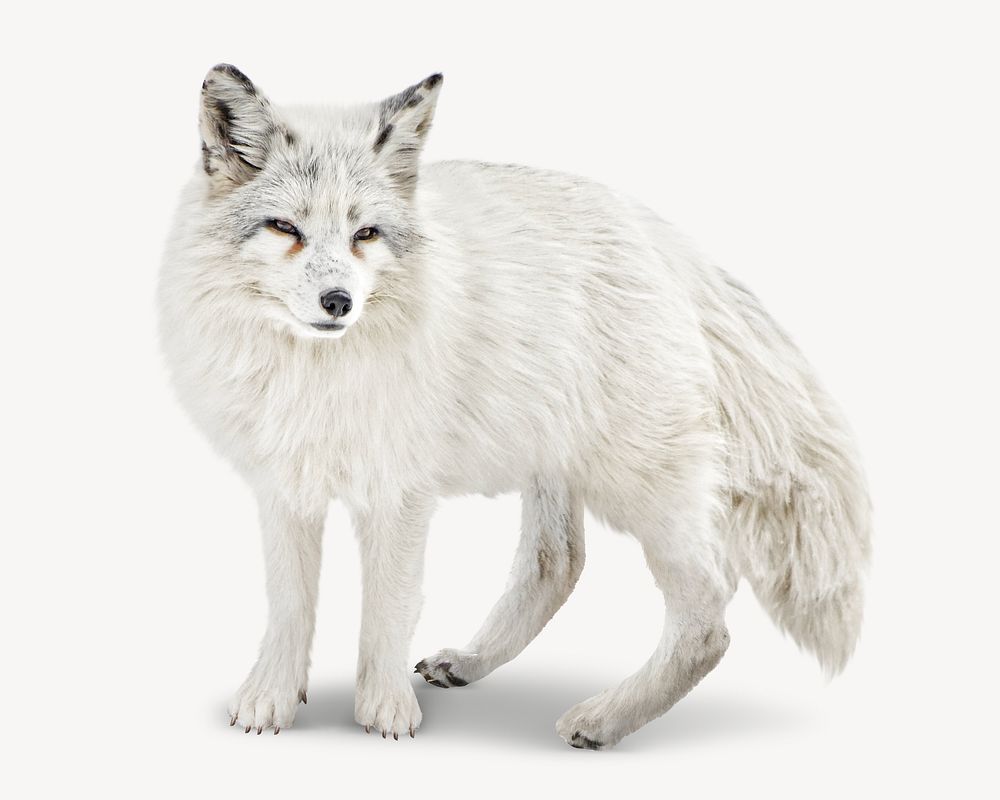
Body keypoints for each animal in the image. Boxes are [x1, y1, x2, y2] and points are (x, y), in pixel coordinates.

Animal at [158, 64, 872, 749]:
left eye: (366, 234)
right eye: (286, 228)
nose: (339, 302)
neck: (317, 375)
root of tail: (656, 233)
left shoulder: (400, 495)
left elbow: (388, 610)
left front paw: (385, 713)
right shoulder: (285, 486)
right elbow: (289, 607)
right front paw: (270, 703)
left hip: (638, 486)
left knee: (708, 621)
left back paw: (603, 719)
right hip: (554, 463)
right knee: (557, 567)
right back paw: (473, 664)